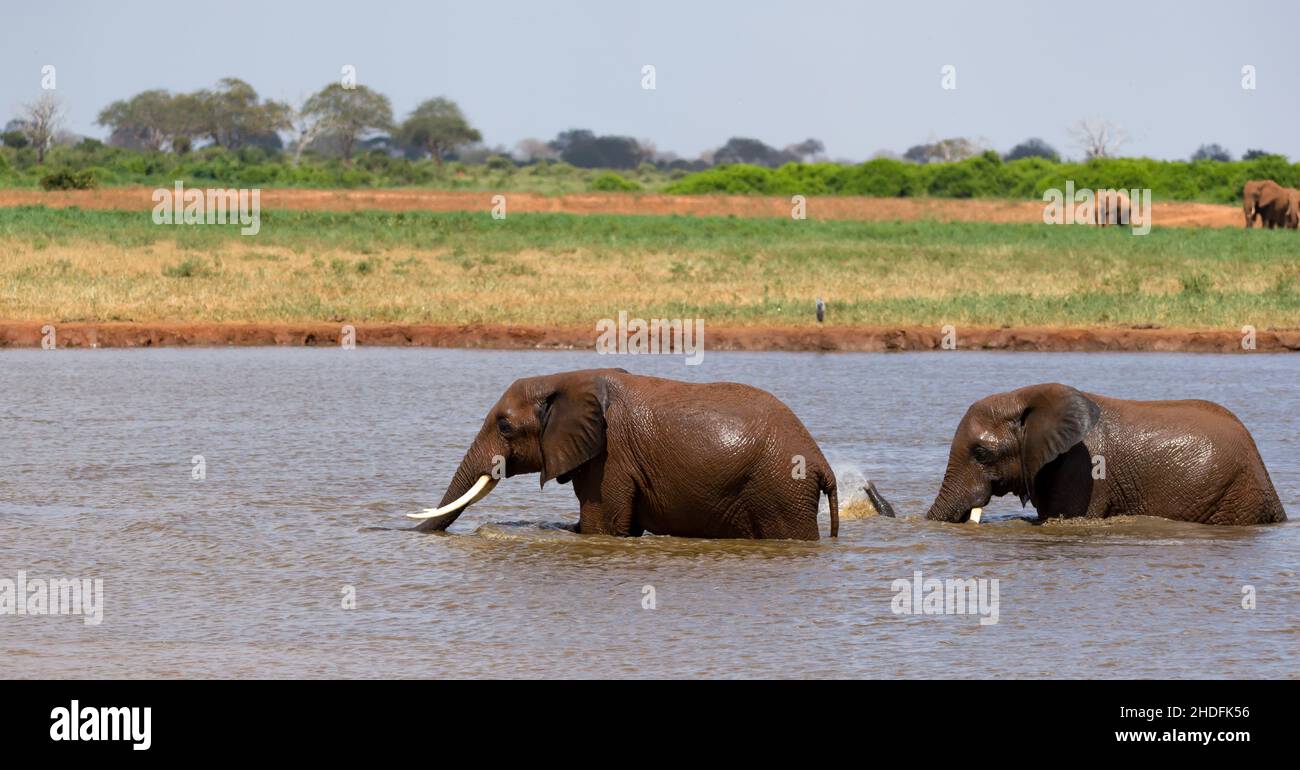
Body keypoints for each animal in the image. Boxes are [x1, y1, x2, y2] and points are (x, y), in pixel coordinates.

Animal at [408, 369, 847, 539]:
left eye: (504, 426)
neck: (566, 379)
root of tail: (822, 464)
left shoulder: (611, 458)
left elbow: (601, 527)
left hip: (778, 490)